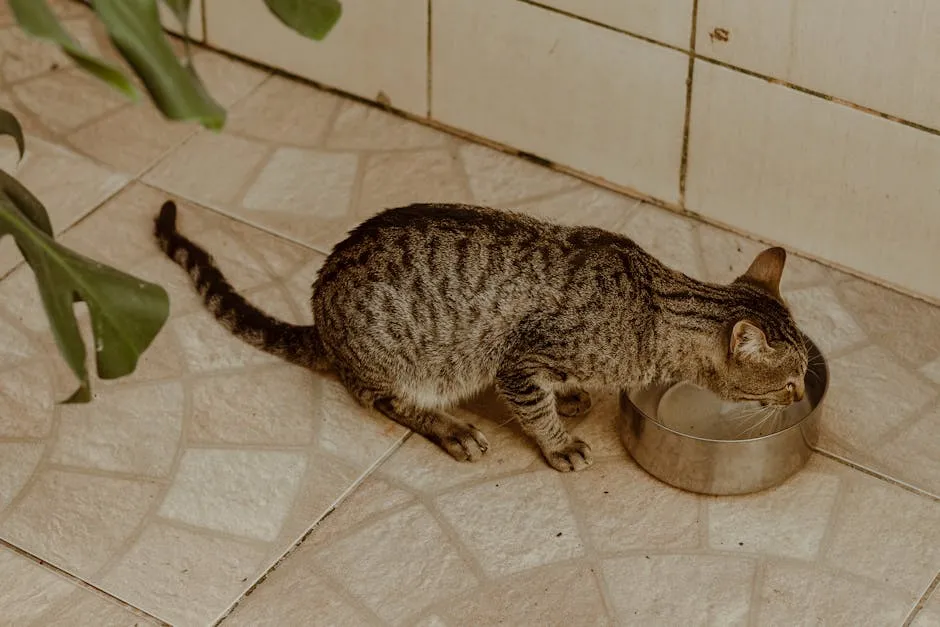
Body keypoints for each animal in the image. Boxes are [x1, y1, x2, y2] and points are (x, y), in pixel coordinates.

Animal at [154, 201, 808, 472]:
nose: (802, 395)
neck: (653, 307)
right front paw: (558, 442)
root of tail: (321, 318)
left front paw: (571, 395)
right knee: (385, 400)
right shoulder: (517, 364)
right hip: (399, 362)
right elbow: (535, 410)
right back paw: (453, 429)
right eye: (791, 380)